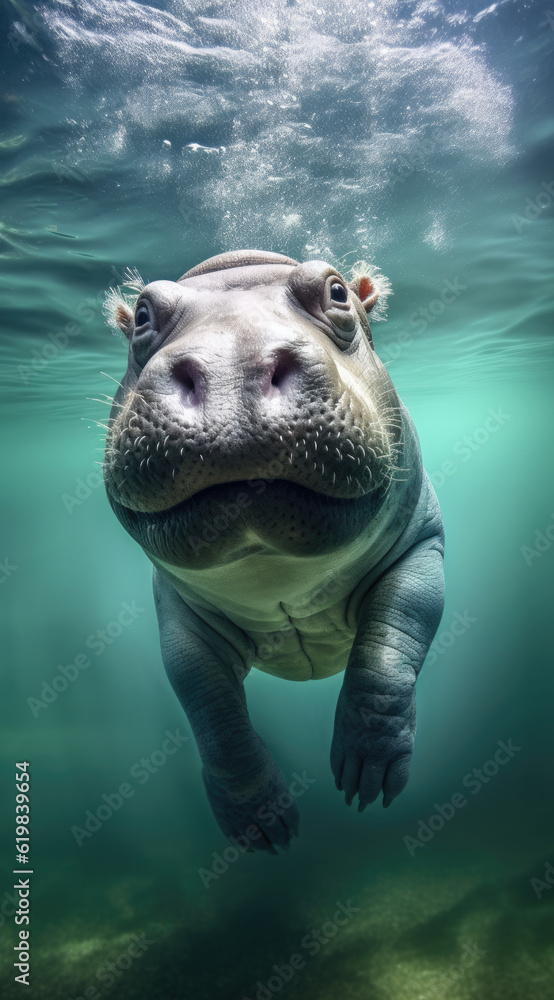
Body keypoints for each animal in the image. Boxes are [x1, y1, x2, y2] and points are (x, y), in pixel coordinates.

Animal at [102, 249, 445, 852]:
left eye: (337, 292)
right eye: (142, 313)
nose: (231, 365)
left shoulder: (421, 546)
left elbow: (390, 647)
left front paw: (367, 775)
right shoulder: (181, 613)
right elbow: (210, 707)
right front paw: (262, 822)